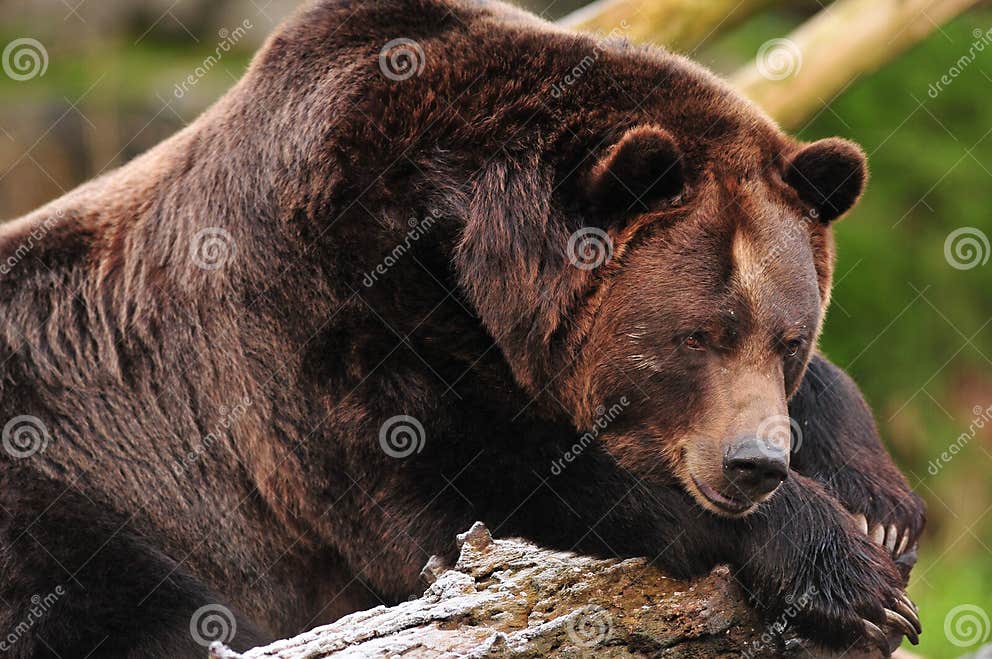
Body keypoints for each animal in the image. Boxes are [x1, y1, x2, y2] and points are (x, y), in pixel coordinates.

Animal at [0, 0, 926, 656]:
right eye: (693, 336)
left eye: (789, 339)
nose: (754, 463)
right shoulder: (323, 327)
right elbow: (477, 487)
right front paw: (848, 573)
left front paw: (880, 504)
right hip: (63, 476)